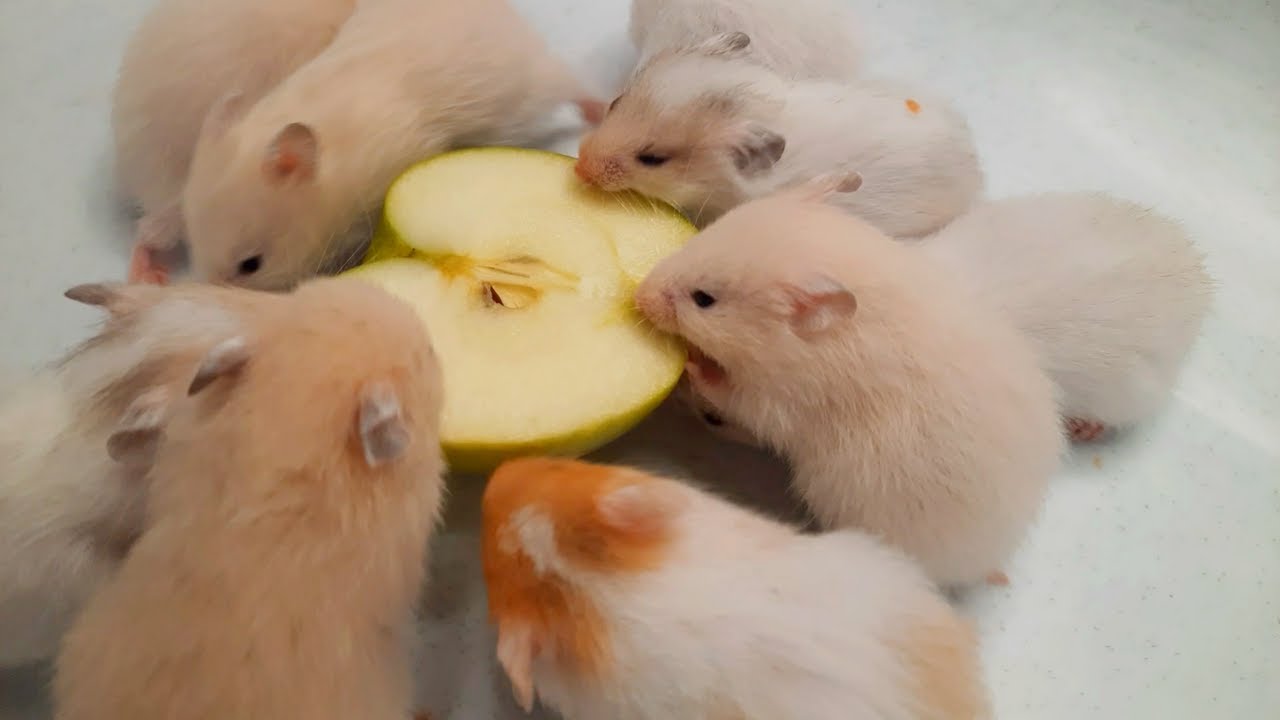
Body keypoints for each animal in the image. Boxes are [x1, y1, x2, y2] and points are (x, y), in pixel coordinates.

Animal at [634, 174, 1063, 588]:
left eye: (704, 299)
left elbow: (723, 389)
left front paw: (693, 361)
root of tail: (991, 558)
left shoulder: (773, 401)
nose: (638, 297)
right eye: (707, 232)